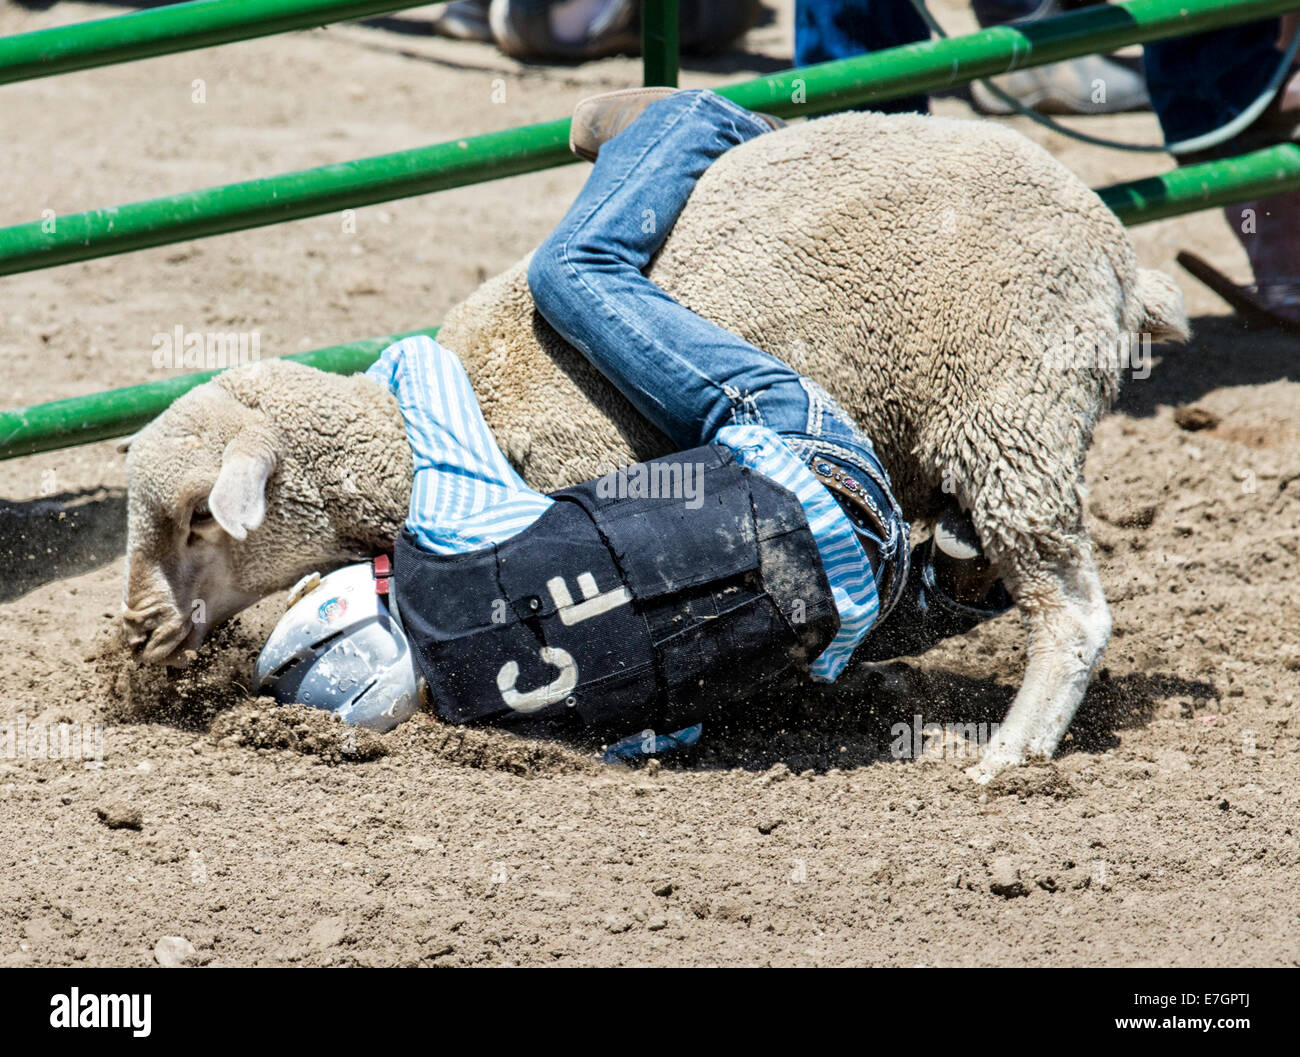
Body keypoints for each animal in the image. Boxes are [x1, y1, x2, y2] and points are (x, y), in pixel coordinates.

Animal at [121, 110, 1188, 780]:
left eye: (199, 520)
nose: (133, 630)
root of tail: (1118, 254)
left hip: (1010, 408)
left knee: (1071, 610)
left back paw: (1012, 754)